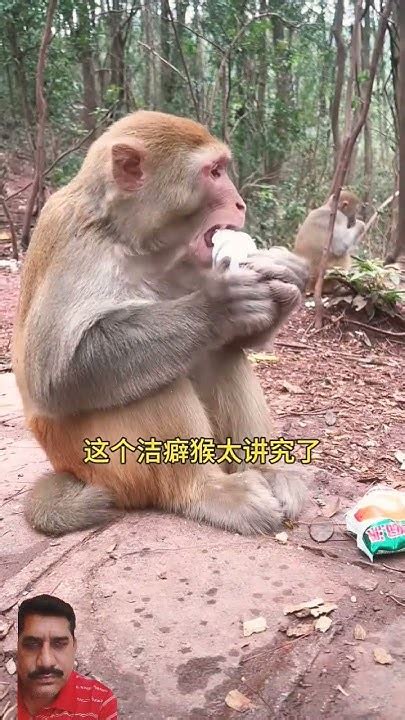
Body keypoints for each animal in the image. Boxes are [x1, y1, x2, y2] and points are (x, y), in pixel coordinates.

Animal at [12, 109, 310, 538]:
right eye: (214, 172)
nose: (240, 204)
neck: (134, 240)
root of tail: (68, 469)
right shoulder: (73, 239)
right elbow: (54, 375)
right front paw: (220, 306)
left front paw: (285, 279)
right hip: (105, 466)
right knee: (150, 376)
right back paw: (208, 490)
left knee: (219, 353)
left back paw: (267, 472)